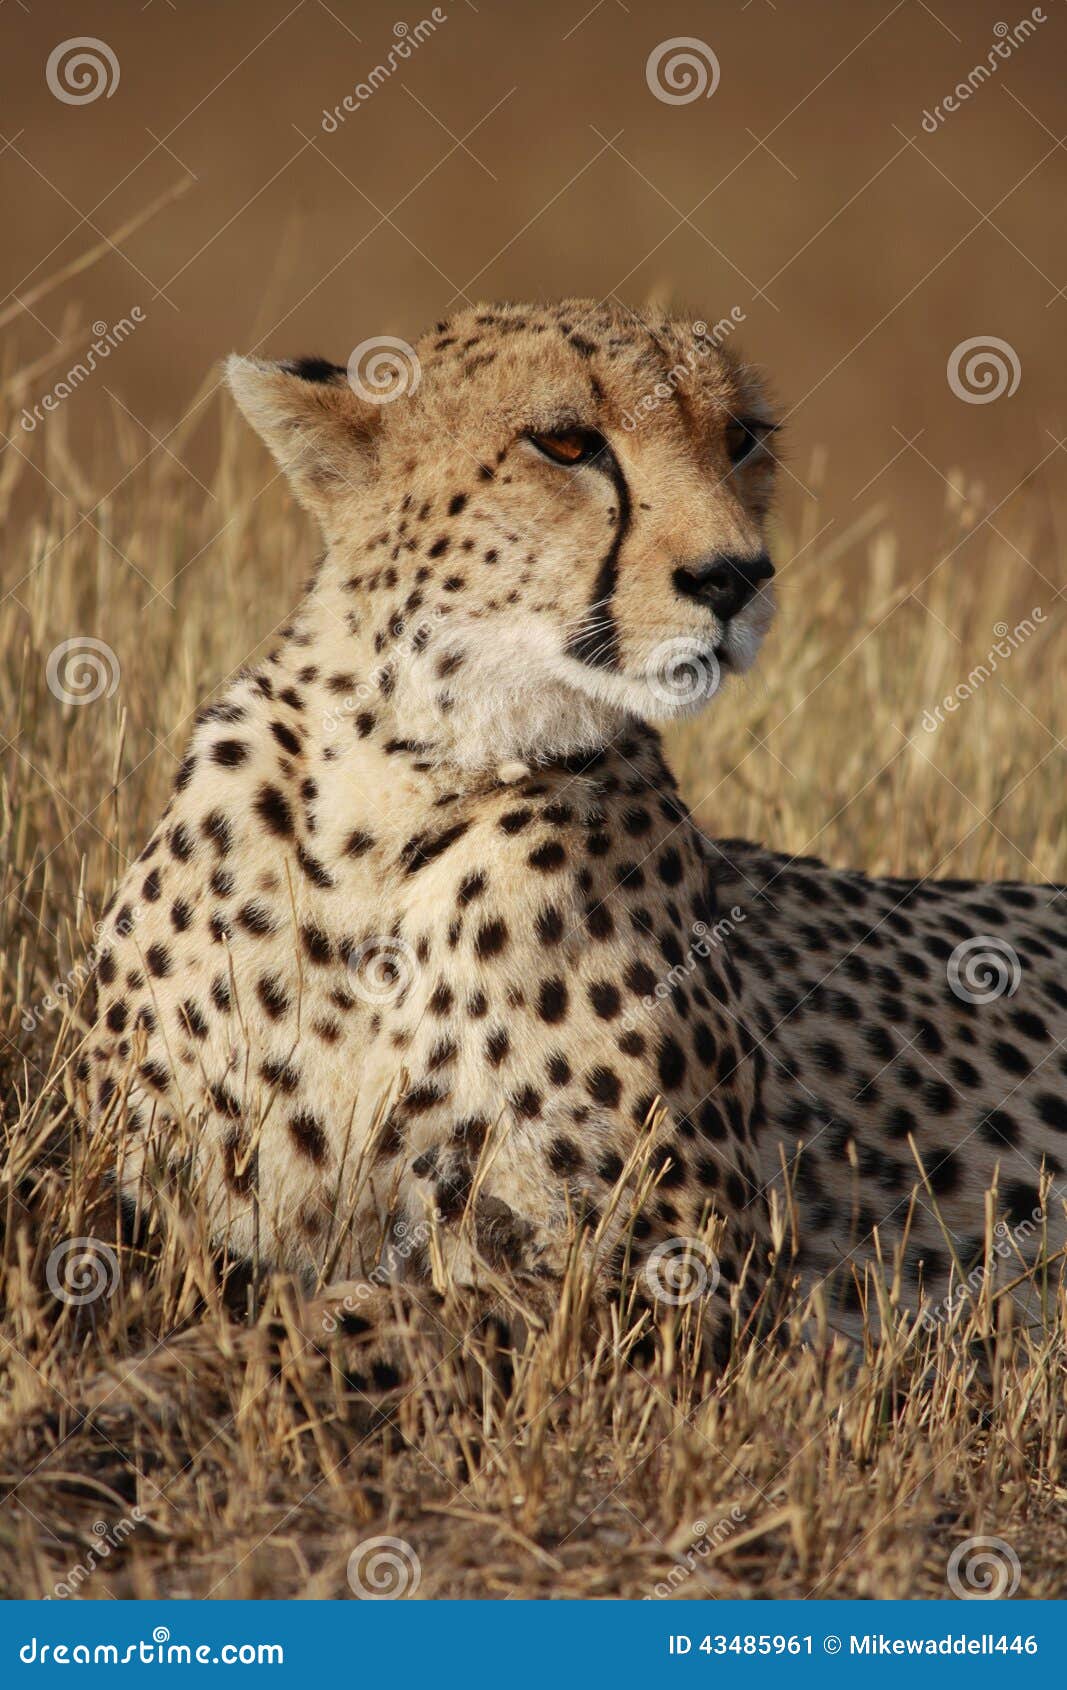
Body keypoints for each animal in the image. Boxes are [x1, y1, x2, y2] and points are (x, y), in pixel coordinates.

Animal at [79, 298, 1067, 1401]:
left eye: (740, 438)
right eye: (564, 444)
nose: (733, 577)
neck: (388, 807)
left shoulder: (680, 1282)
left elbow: (378, 1316)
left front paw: (150, 1380)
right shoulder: (152, 1200)